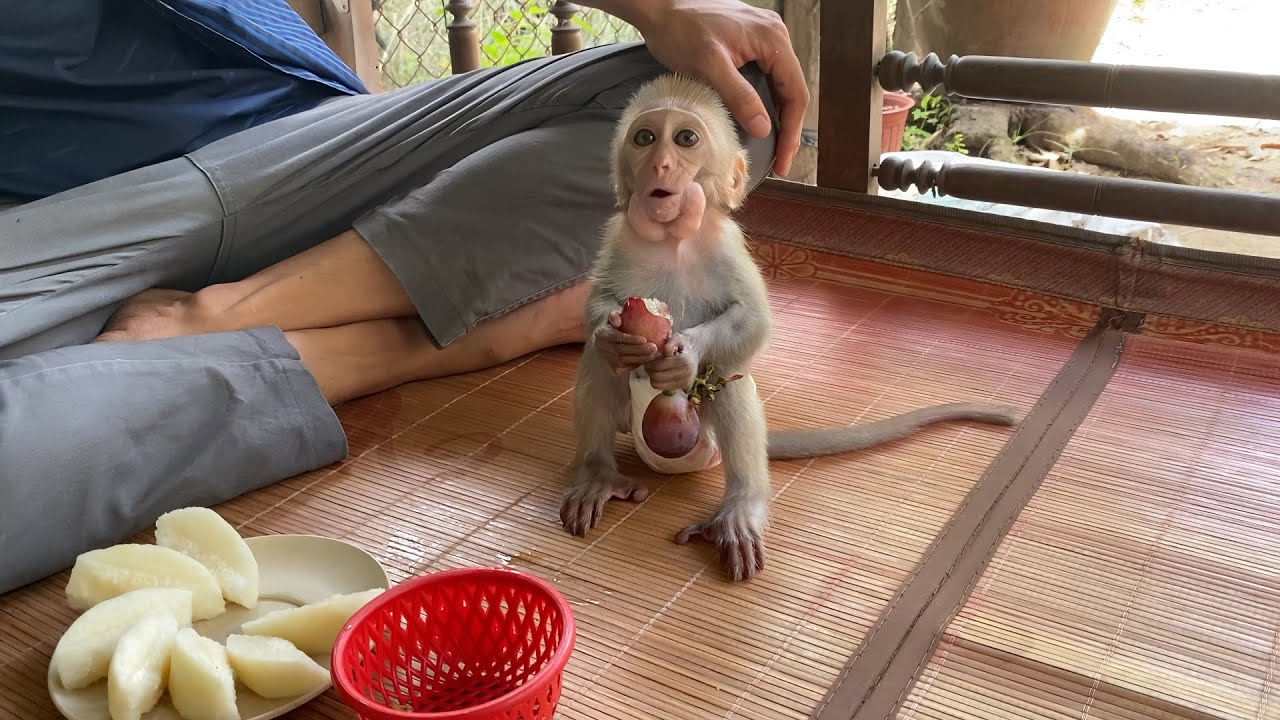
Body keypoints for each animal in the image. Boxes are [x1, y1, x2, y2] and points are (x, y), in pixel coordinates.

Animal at [559, 73, 1019, 582]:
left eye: (685, 139)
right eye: (644, 138)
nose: (659, 164)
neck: (673, 241)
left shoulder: (727, 244)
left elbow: (754, 323)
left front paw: (687, 355)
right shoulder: (620, 235)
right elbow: (599, 306)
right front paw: (615, 338)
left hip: (706, 442)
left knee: (728, 380)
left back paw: (740, 509)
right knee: (599, 367)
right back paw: (598, 472)